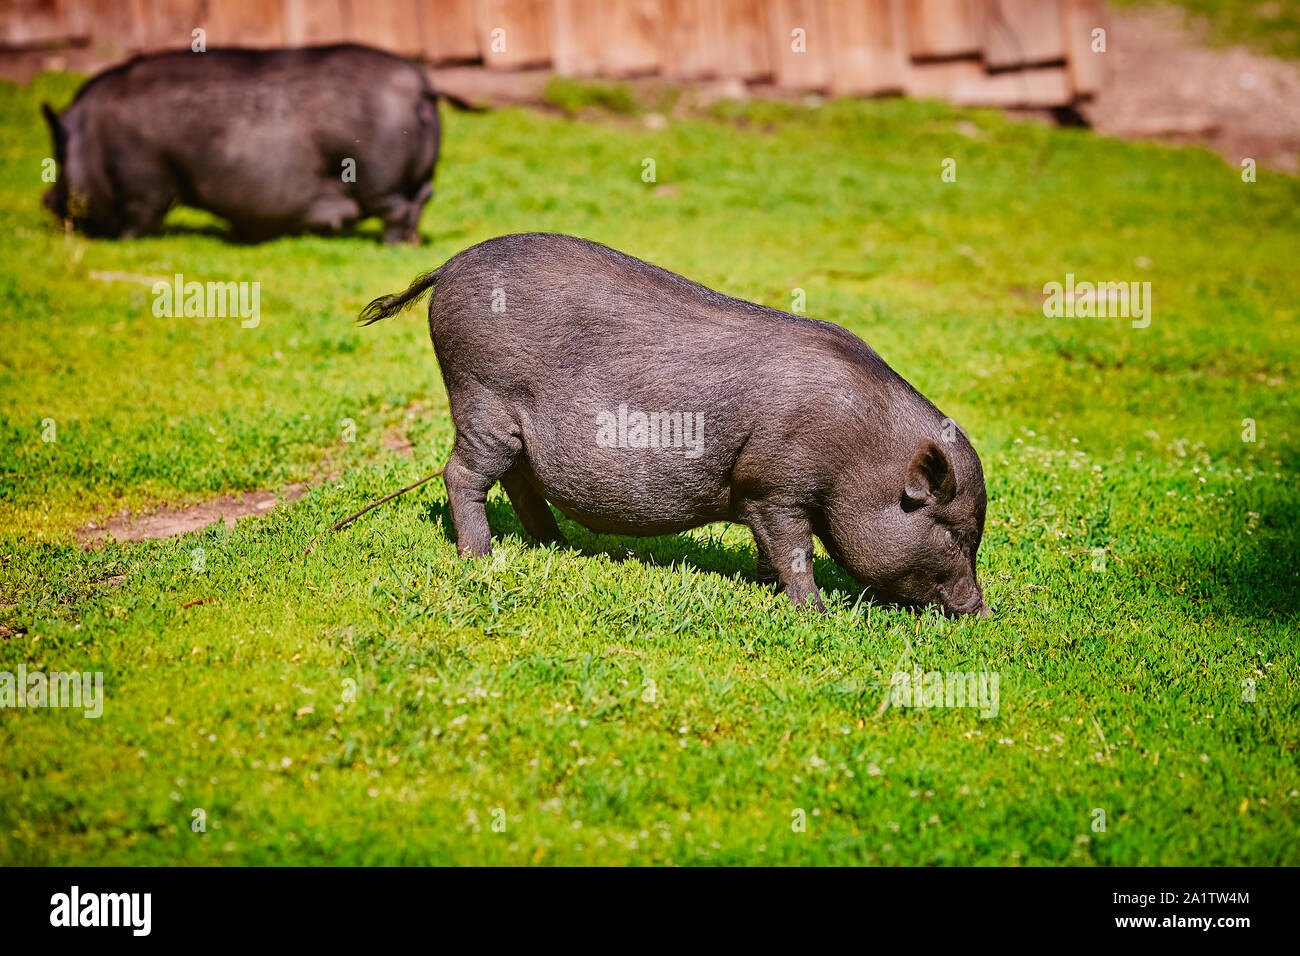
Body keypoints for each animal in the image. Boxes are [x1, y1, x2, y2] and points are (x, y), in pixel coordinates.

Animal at [41, 44, 476, 243]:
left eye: (59, 154)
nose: (45, 201)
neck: (93, 135)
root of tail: (420, 85)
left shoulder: (143, 176)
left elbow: (141, 215)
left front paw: (125, 241)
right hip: (415, 176)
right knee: (420, 199)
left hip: (375, 174)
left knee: (398, 210)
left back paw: (393, 245)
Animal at [362, 233, 990, 617]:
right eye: (954, 532)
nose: (982, 610)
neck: (860, 456)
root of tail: (449, 265)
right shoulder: (775, 484)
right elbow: (797, 549)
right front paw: (814, 610)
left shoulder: (761, 497)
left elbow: (771, 548)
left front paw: (763, 585)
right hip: (480, 398)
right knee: (461, 475)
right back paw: (481, 559)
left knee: (517, 481)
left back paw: (555, 544)